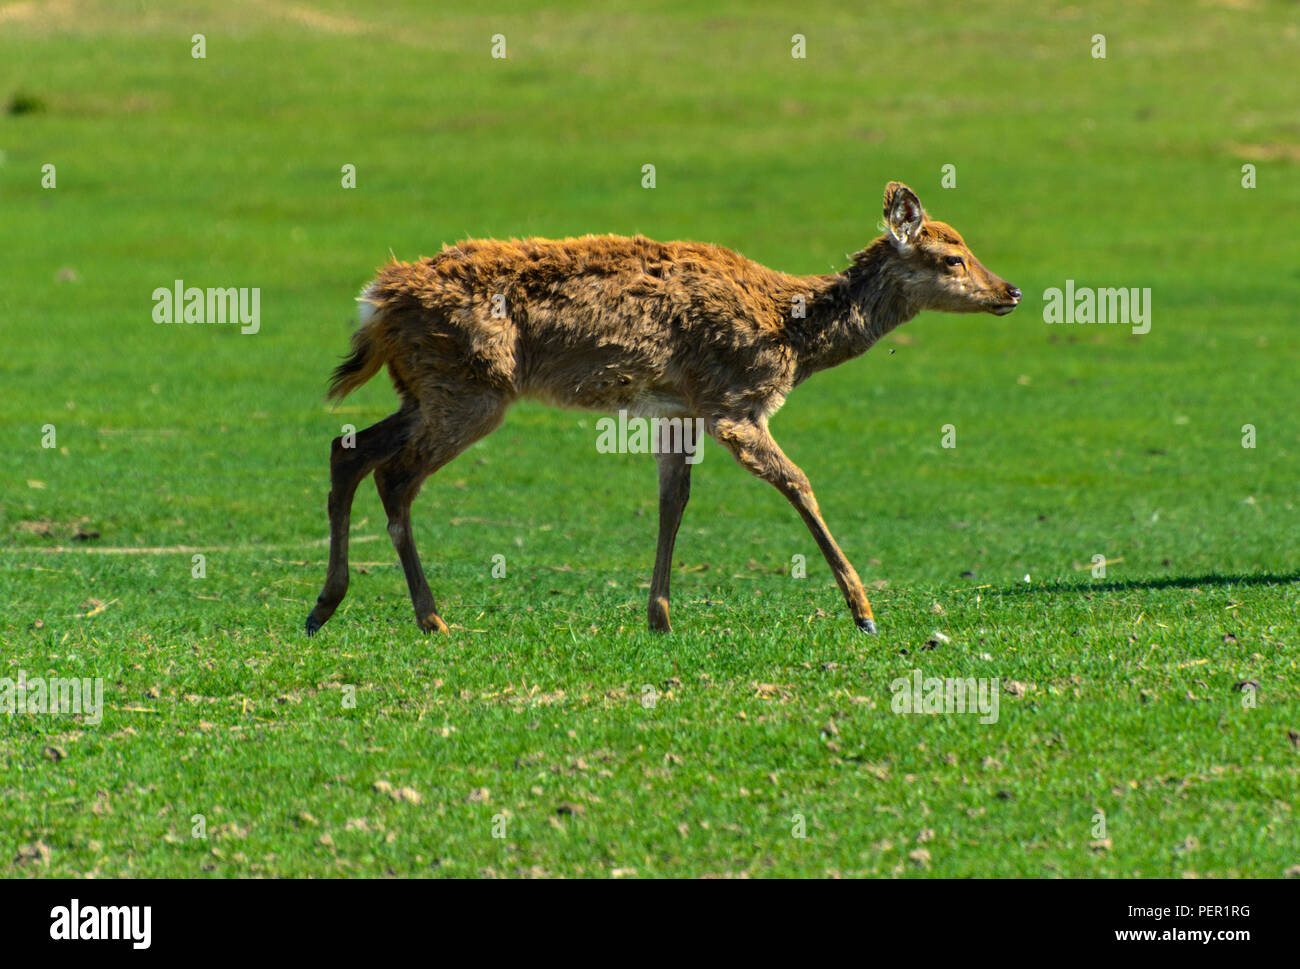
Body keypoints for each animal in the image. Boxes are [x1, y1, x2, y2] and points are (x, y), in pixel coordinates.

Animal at [305, 181, 1020, 638]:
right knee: (394, 475)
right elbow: (798, 482)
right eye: (952, 257)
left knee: (349, 450)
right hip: (470, 389)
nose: (1010, 290)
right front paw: (864, 611)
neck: (790, 335)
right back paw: (430, 618)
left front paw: (659, 616)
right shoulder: (734, 401)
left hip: (426, 390)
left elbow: (672, 501)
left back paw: (324, 607)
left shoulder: (677, 410)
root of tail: (375, 303)